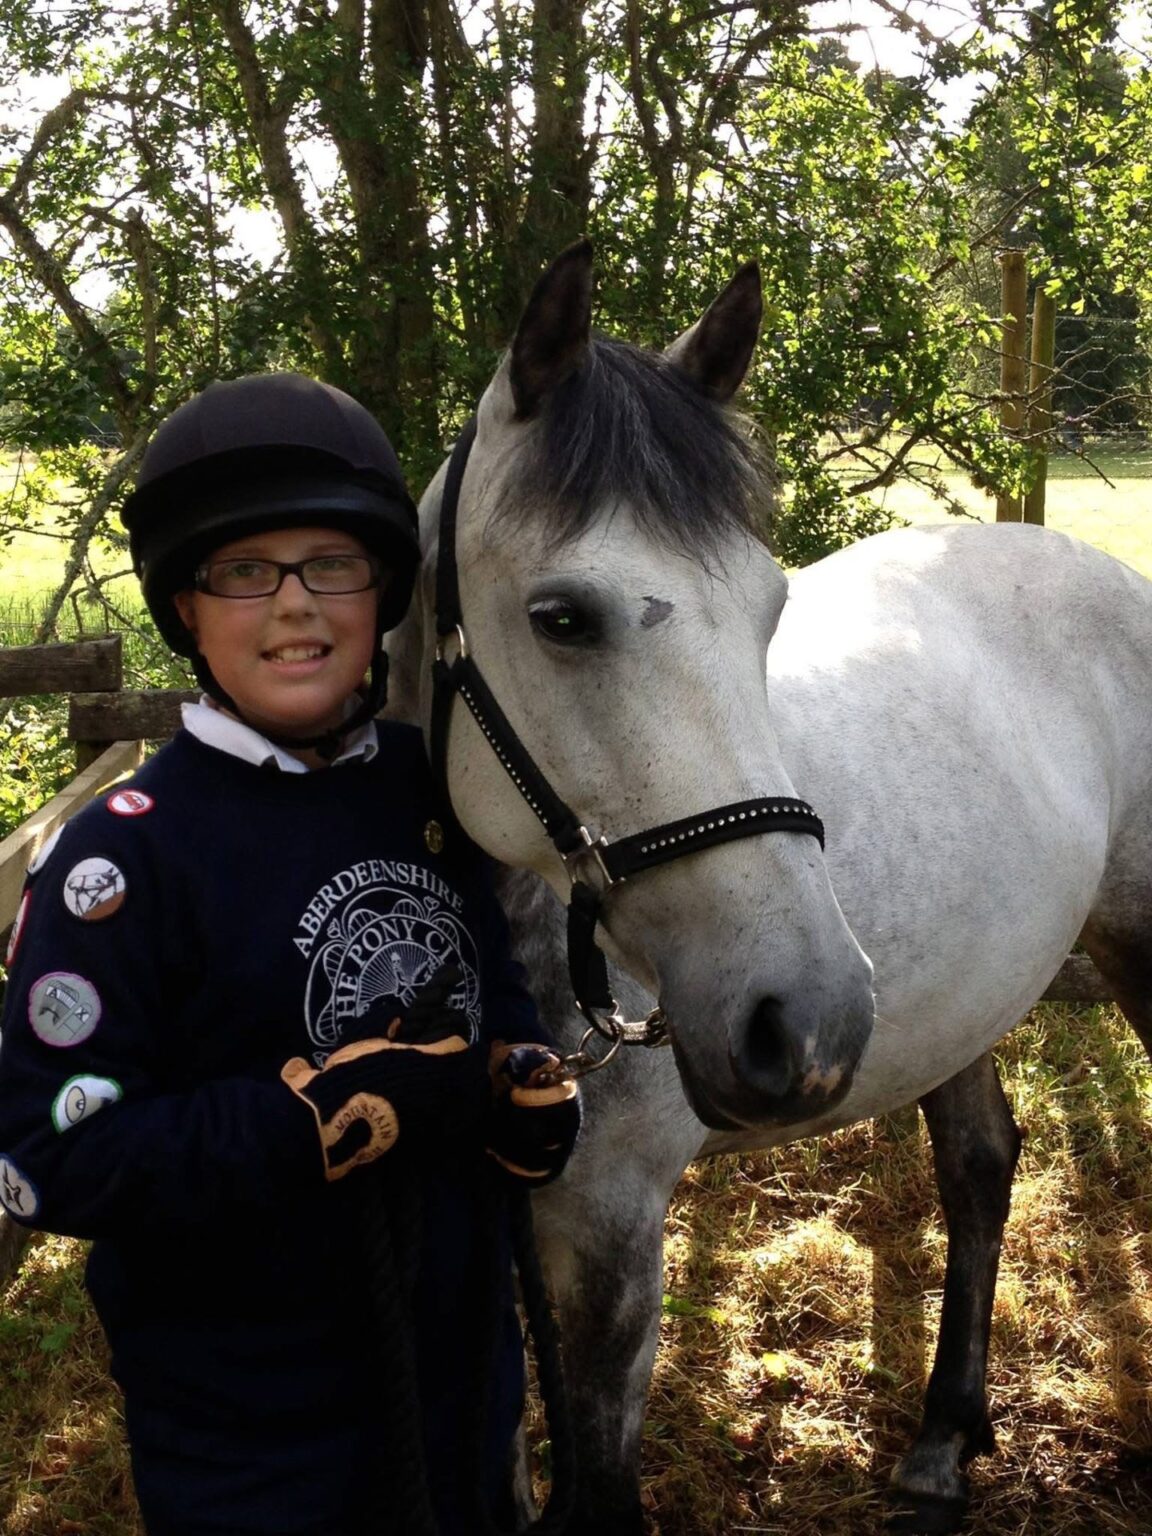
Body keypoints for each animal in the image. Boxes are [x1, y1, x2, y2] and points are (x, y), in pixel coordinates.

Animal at [386, 241, 1152, 1534]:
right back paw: (943, 1440)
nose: (807, 1014)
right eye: (560, 617)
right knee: (981, 1162)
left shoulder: (611, 1235)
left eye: (770, 608)